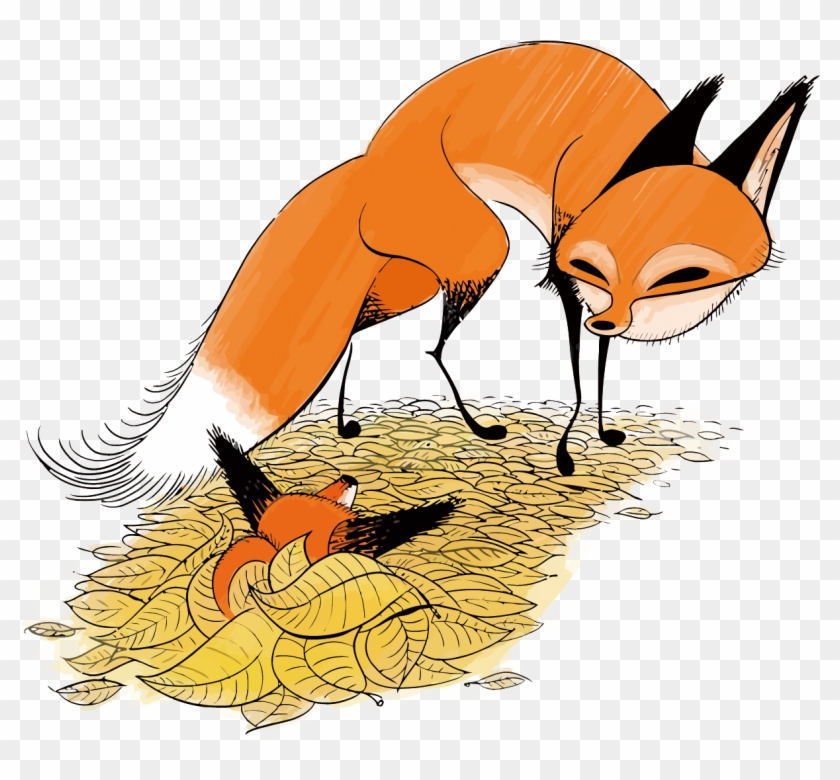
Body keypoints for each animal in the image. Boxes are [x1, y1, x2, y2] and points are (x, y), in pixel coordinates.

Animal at [31, 42, 814, 506]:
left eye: (682, 274)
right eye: (593, 261)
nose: (611, 314)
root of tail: (372, 159)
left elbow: (598, 366)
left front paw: (601, 432)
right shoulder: (563, 268)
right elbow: (576, 365)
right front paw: (569, 448)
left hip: (406, 279)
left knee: (360, 331)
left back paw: (345, 419)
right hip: (483, 254)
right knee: (429, 346)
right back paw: (472, 425)